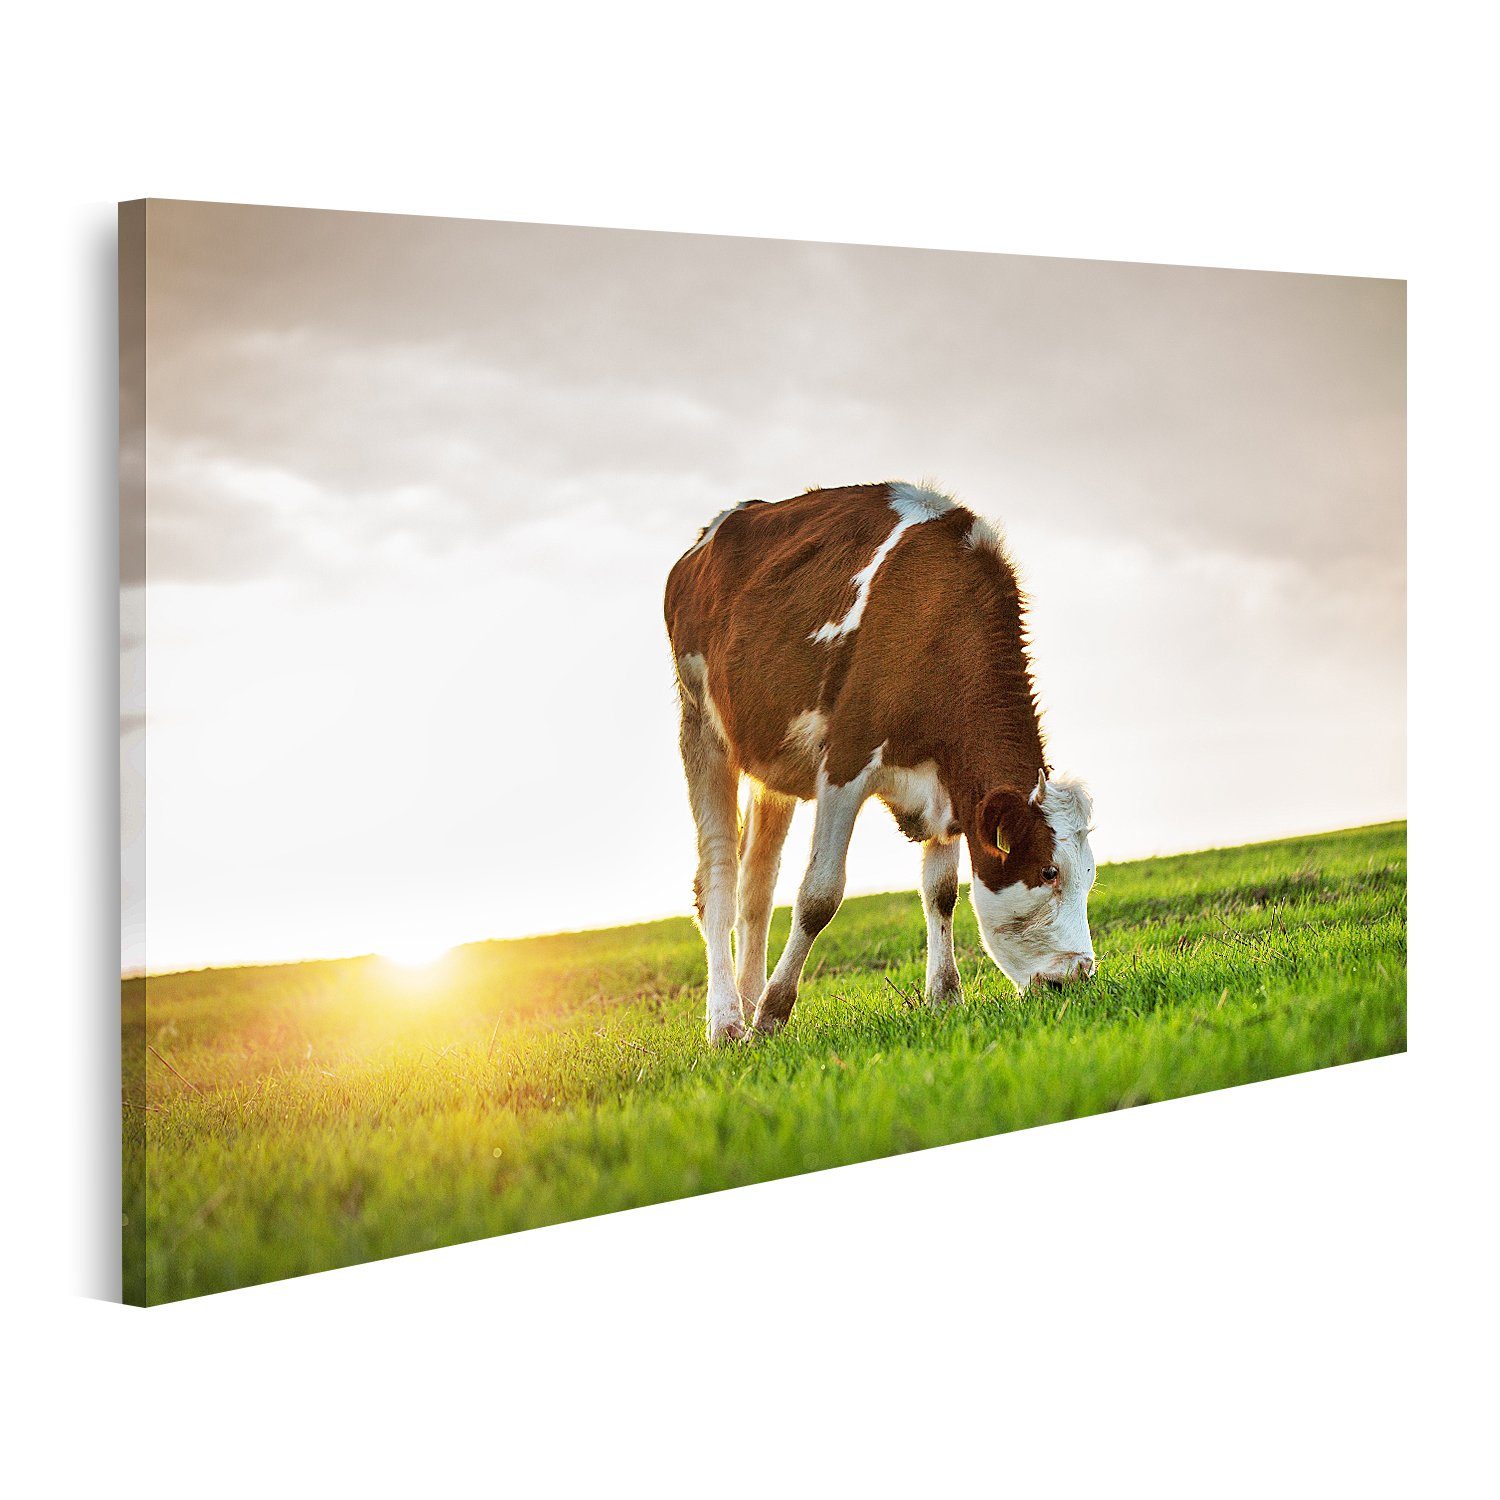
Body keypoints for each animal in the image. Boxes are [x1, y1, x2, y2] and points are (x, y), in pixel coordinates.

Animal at [665, 481, 1098, 1045]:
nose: (1079, 974)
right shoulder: (845, 762)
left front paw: (945, 998)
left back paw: (747, 995)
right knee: (717, 876)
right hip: (700, 724)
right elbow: (820, 896)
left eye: (1090, 875)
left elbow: (941, 892)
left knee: (755, 886)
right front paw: (774, 1012)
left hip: (770, 766)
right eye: (1047, 870)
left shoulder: (950, 784)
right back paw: (728, 1020)